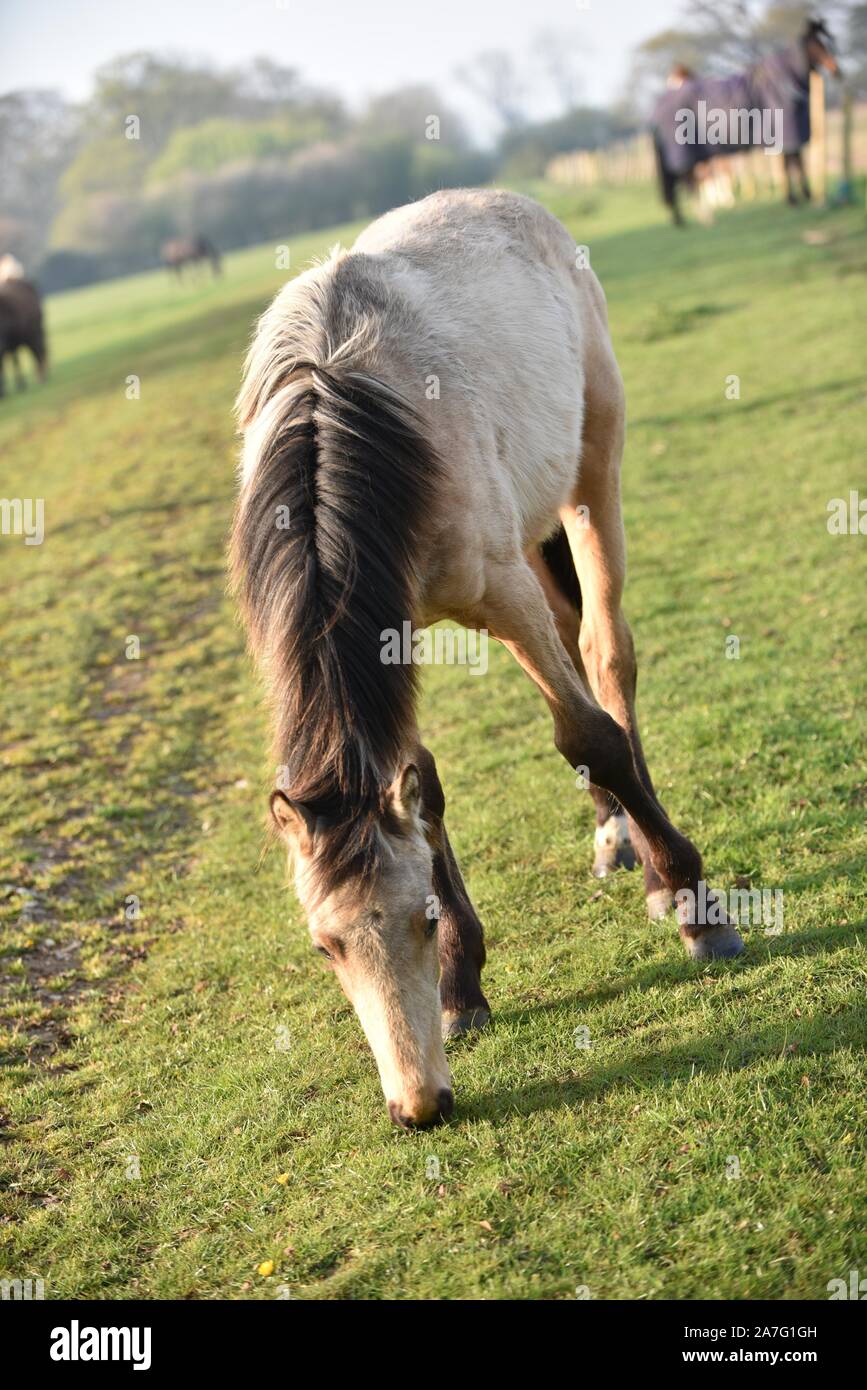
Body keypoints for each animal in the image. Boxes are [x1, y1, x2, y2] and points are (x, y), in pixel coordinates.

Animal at [230, 188, 744, 1130]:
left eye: (420, 920)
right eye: (326, 947)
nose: (418, 1106)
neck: (347, 419)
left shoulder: (501, 592)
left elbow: (588, 736)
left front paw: (700, 911)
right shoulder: (396, 634)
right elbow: (423, 791)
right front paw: (463, 991)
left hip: (590, 483)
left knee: (603, 658)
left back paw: (654, 872)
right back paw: (613, 839)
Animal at [652, 18, 841, 226]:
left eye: (829, 41)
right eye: (817, 44)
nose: (836, 70)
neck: (783, 83)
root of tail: (659, 106)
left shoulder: (790, 133)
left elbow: (793, 161)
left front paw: (801, 197)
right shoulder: (787, 131)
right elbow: (792, 162)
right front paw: (798, 198)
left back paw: (689, 219)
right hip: (688, 155)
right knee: (690, 183)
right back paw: (705, 217)